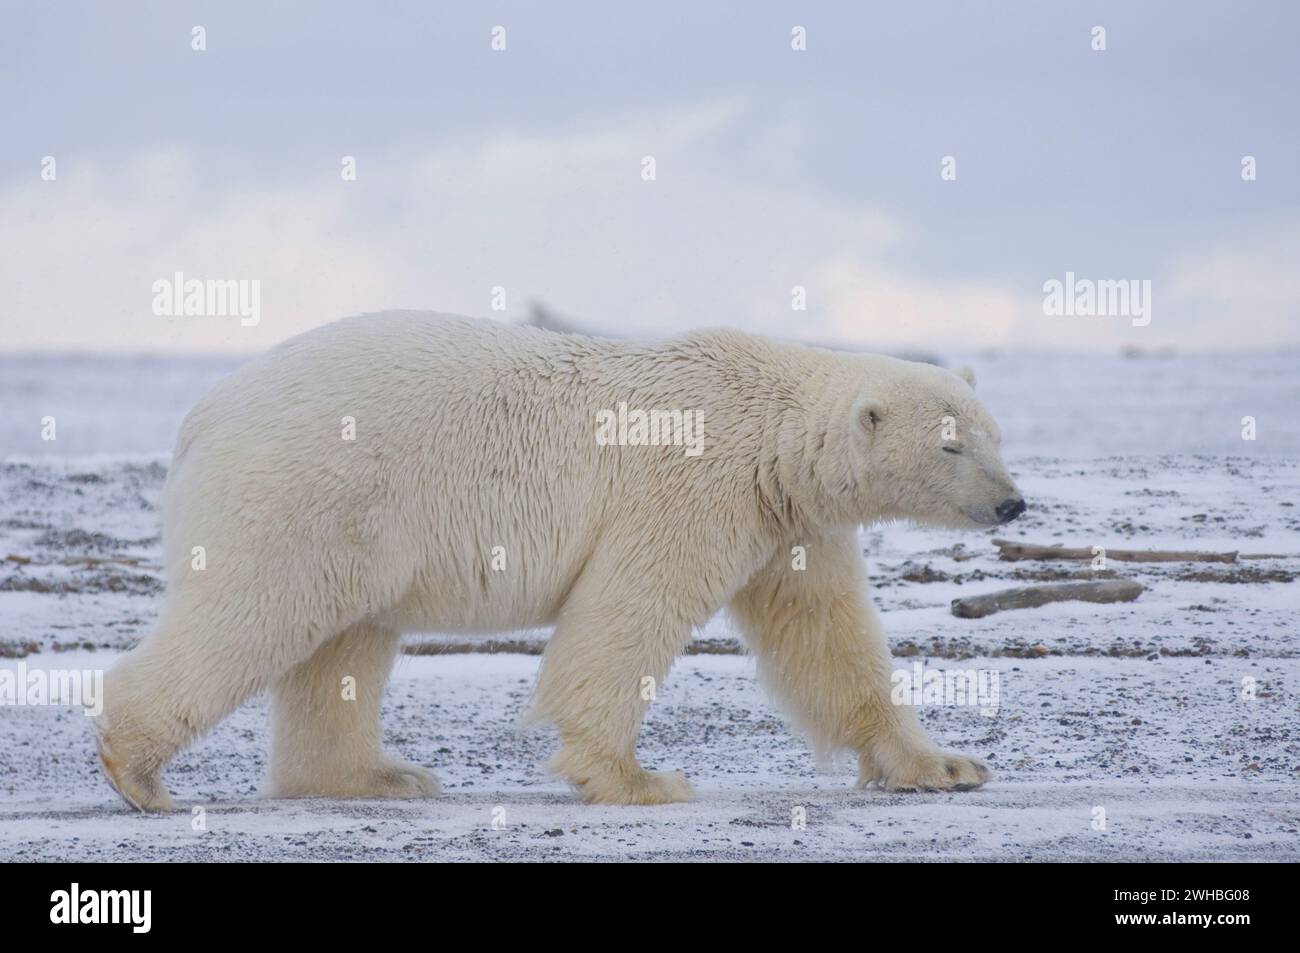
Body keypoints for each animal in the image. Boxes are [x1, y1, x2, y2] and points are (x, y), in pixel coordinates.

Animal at [95, 311, 1025, 811]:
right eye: (951, 444)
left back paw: (376, 775)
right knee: (258, 614)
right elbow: (626, 613)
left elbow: (828, 637)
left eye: (994, 434)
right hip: (310, 489)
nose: (1012, 502)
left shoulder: (789, 522)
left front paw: (943, 765)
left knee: (344, 645)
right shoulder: (692, 484)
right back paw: (135, 767)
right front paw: (638, 778)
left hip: (355, 520)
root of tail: (204, 413)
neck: (771, 428)